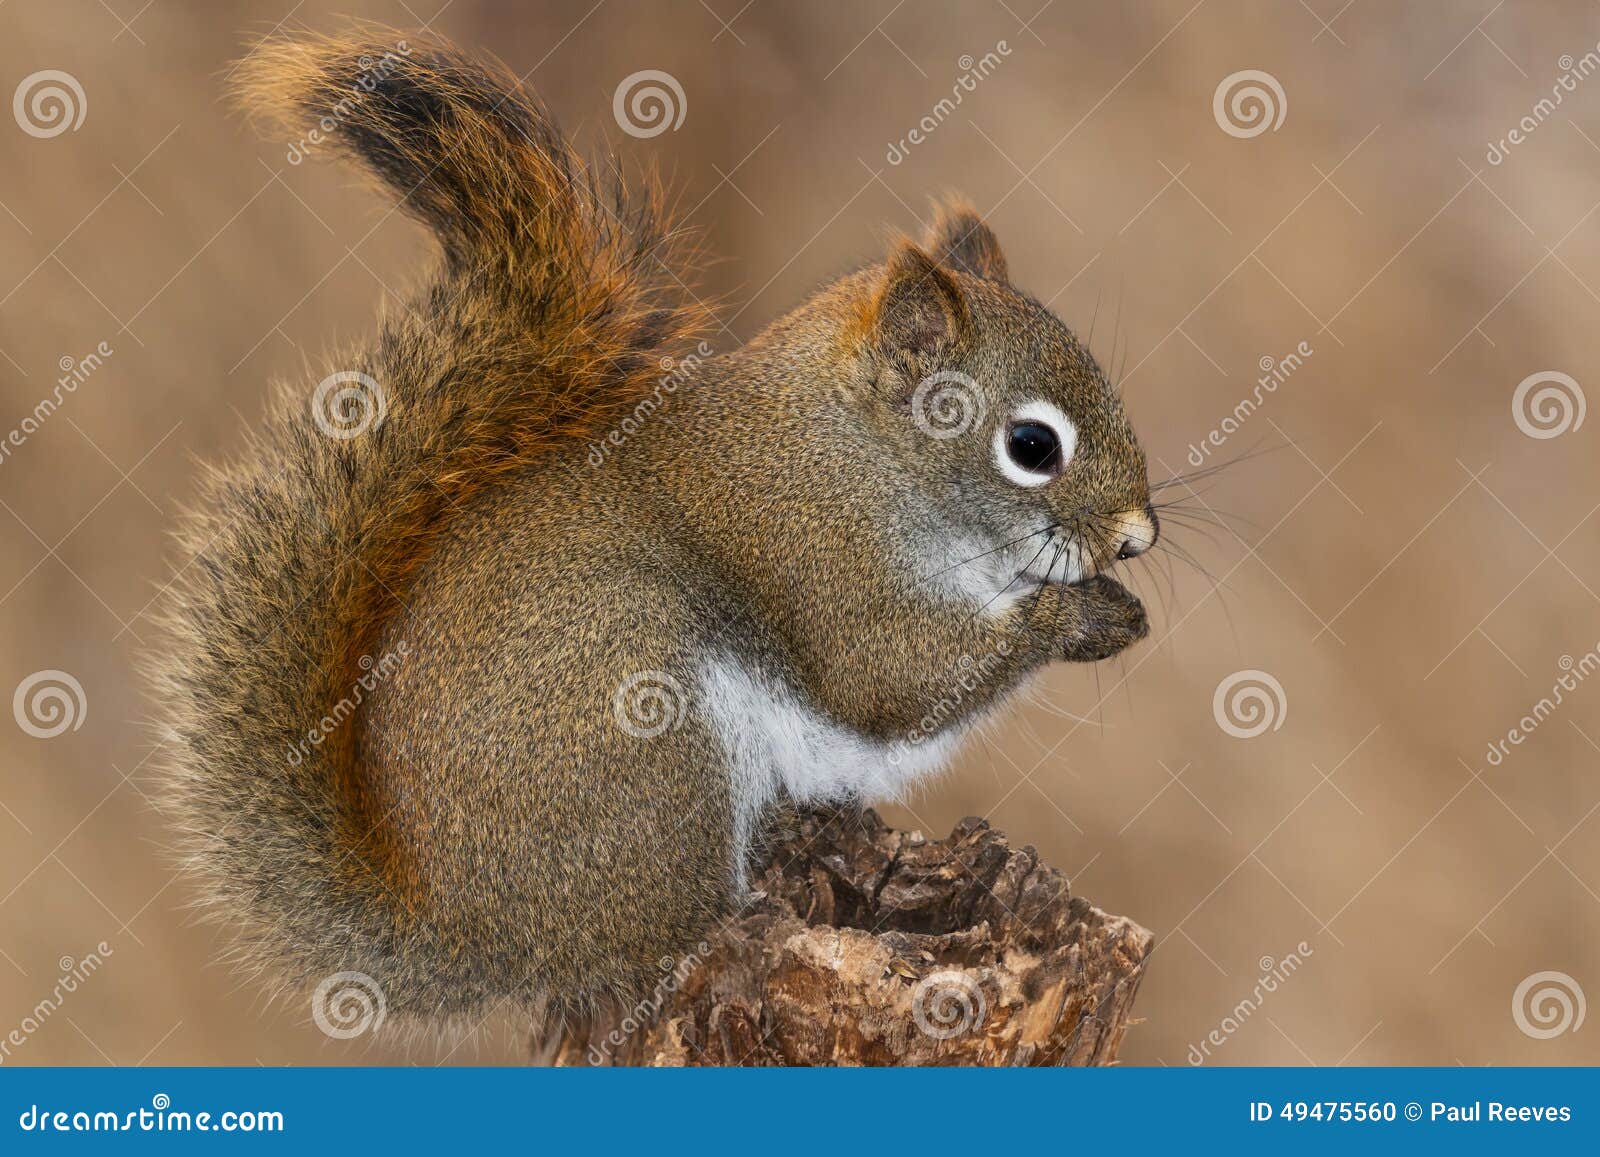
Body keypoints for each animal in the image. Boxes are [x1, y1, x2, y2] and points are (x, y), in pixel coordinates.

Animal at [152, 28, 1158, 1024]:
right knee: (662, 932)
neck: (863, 455)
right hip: (644, 717)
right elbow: (892, 678)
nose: (1138, 535)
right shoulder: (814, 552)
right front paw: (1085, 617)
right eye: (1031, 445)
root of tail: (466, 933)